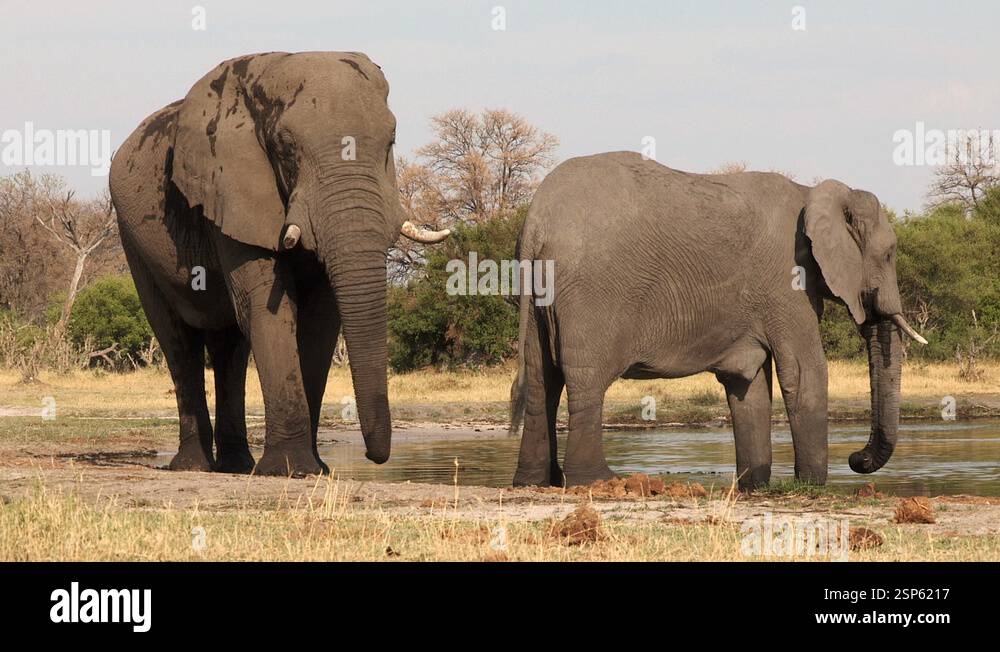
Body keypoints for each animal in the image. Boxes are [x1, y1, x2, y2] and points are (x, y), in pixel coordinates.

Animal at [109, 52, 449, 476]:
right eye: (286, 148)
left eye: (391, 141)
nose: (375, 457)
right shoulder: (232, 189)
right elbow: (270, 307)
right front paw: (291, 469)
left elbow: (320, 319)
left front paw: (315, 469)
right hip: (133, 241)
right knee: (178, 341)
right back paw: (193, 467)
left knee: (229, 349)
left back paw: (236, 465)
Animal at [509, 151, 926, 490]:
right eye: (889, 255)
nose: (857, 459)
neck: (813, 192)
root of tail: (536, 221)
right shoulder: (788, 280)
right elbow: (804, 371)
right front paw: (811, 485)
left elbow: (746, 380)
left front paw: (754, 485)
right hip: (592, 295)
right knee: (586, 381)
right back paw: (597, 480)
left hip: (537, 289)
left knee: (541, 380)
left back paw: (535, 482)